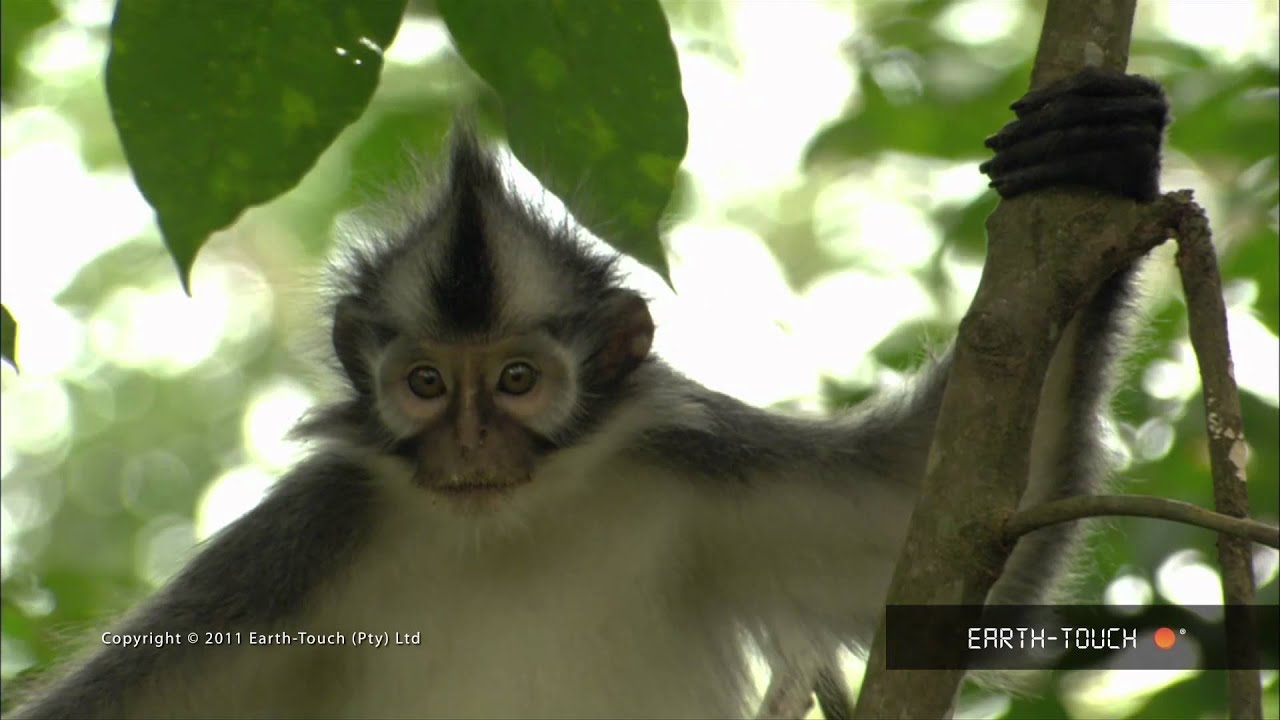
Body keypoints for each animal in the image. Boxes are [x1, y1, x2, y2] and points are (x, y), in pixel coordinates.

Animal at [7, 68, 1168, 719]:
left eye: (518, 382)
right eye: (425, 385)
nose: (472, 447)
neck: (508, 528)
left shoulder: (699, 467)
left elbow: (942, 543)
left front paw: (1100, 152)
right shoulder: (299, 543)